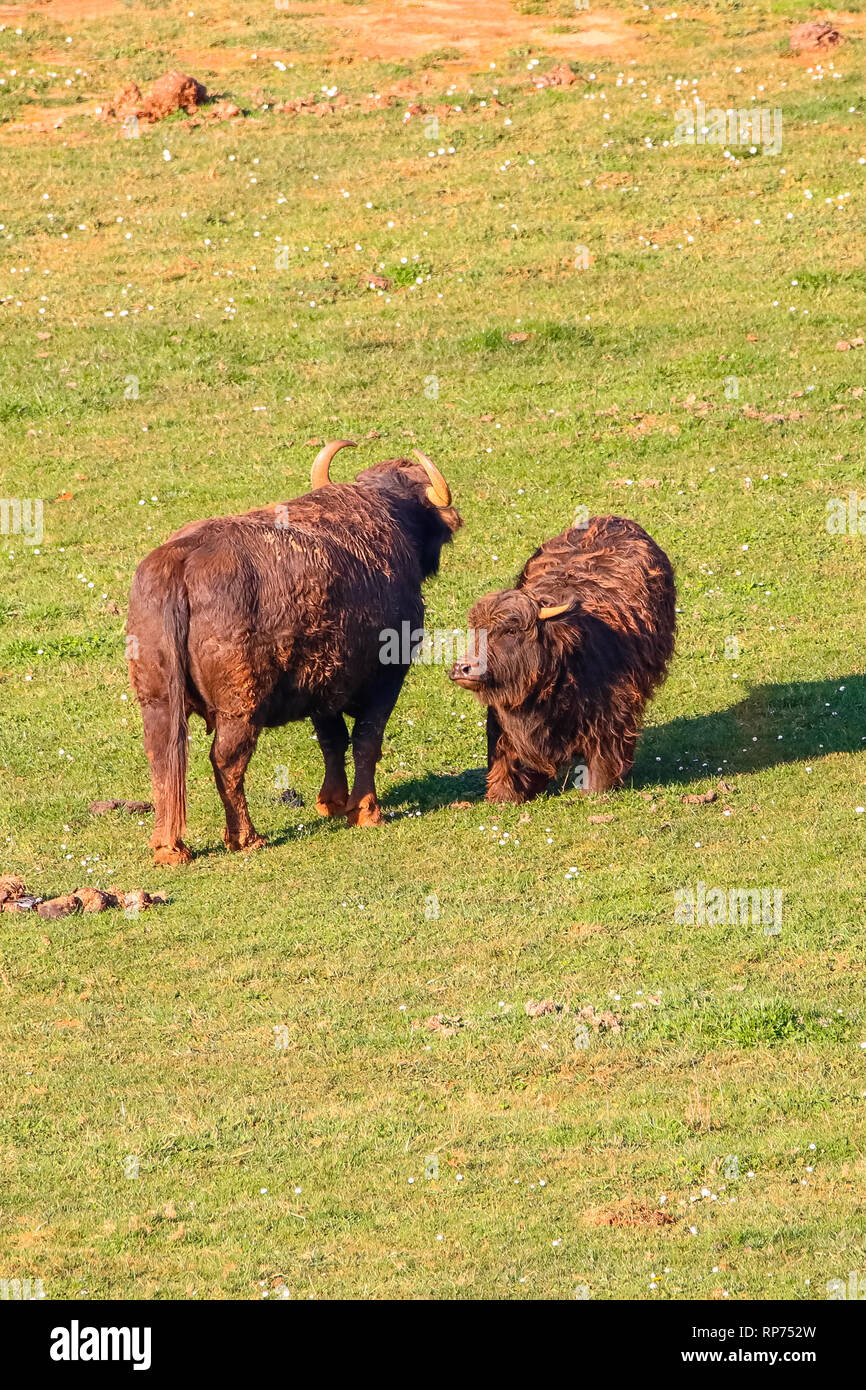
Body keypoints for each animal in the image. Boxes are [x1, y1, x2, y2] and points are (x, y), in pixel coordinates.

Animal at [127, 442, 461, 864]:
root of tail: (180, 561)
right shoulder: (386, 679)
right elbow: (365, 740)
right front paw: (365, 811)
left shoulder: (323, 687)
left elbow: (333, 741)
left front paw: (331, 803)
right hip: (240, 711)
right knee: (227, 761)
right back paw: (247, 838)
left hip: (157, 702)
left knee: (164, 760)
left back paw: (170, 848)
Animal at [450, 516, 676, 801]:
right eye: (475, 630)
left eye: (510, 630)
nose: (462, 668)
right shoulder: (505, 722)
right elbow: (505, 755)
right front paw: (503, 796)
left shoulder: (612, 710)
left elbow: (603, 755)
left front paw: (595, 791)